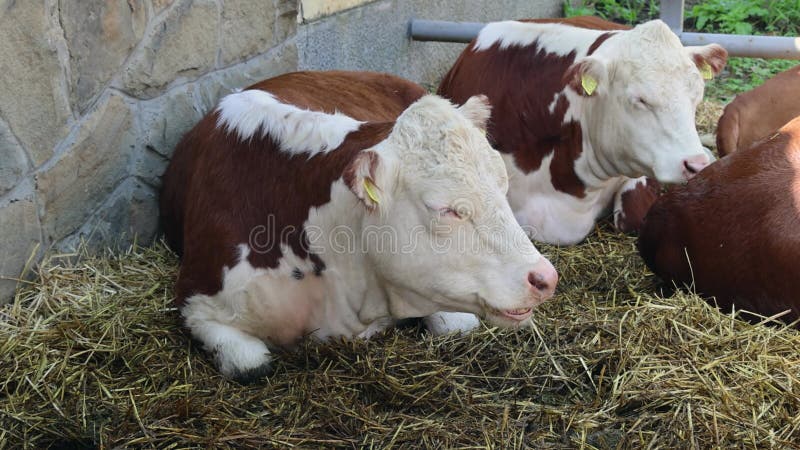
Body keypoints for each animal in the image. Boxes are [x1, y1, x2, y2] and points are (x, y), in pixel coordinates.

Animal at [160, 71, 558, 382]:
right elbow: (250, 366)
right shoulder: (196, 303)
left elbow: (454, 326)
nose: (544, 278)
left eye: (503, 183)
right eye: (444, 208)